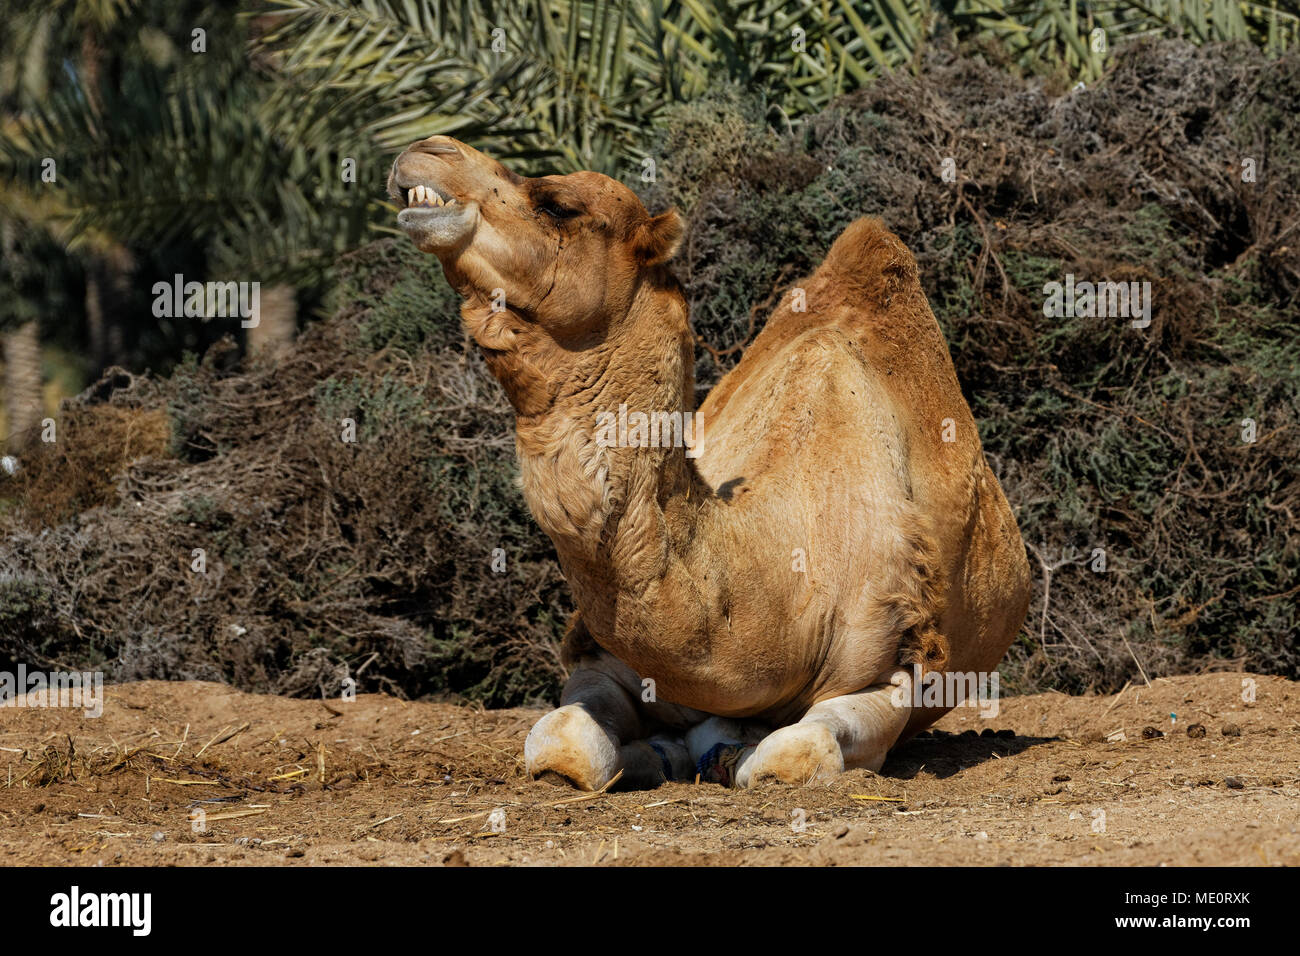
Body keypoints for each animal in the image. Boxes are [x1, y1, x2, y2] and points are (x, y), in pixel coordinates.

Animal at [388, 136, 1032, 789]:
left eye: (557, 204)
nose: (426, 148)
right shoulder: (607, 660)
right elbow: (563, 745)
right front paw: (656, 753)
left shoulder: (892, 663)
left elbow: (791, 754)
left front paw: (732, 752)